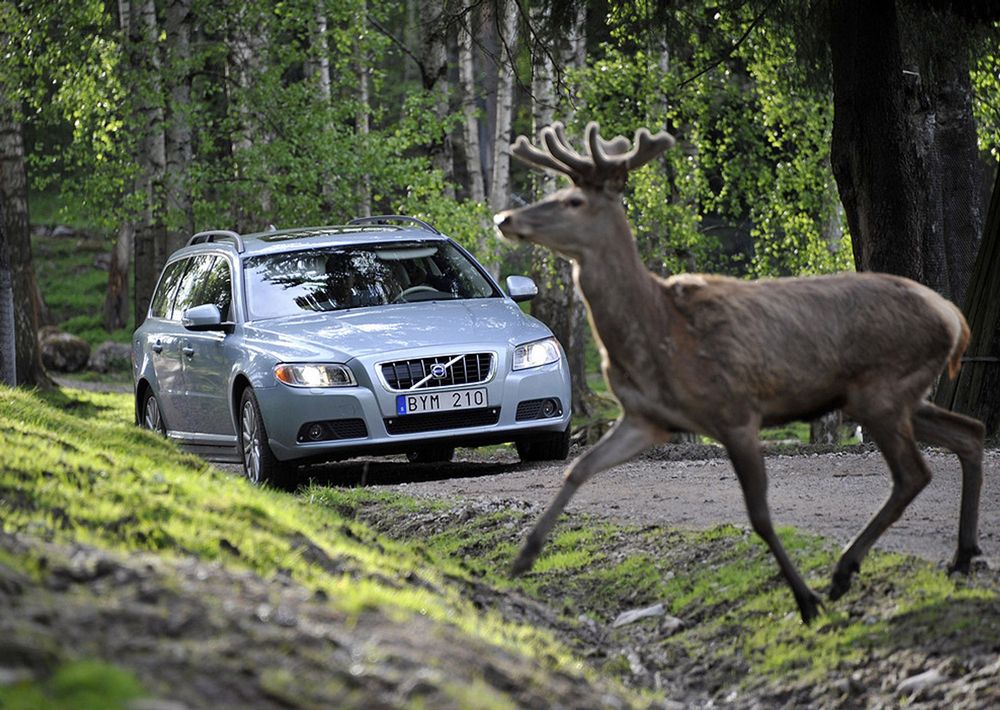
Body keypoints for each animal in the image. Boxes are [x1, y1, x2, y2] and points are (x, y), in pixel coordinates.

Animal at [493, 122, 985, 624]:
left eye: (574, 201)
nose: (505, 219)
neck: (658, 332)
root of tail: (953, 318)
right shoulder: (646, 417)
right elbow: (578, 469)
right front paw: (524, 557)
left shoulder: (735, 411)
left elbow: (760, 515)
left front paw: (805, 600)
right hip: (894, 395)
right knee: (970, 432)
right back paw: (958, 557)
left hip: (882, 389)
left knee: (913, 473)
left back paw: (845, 571)